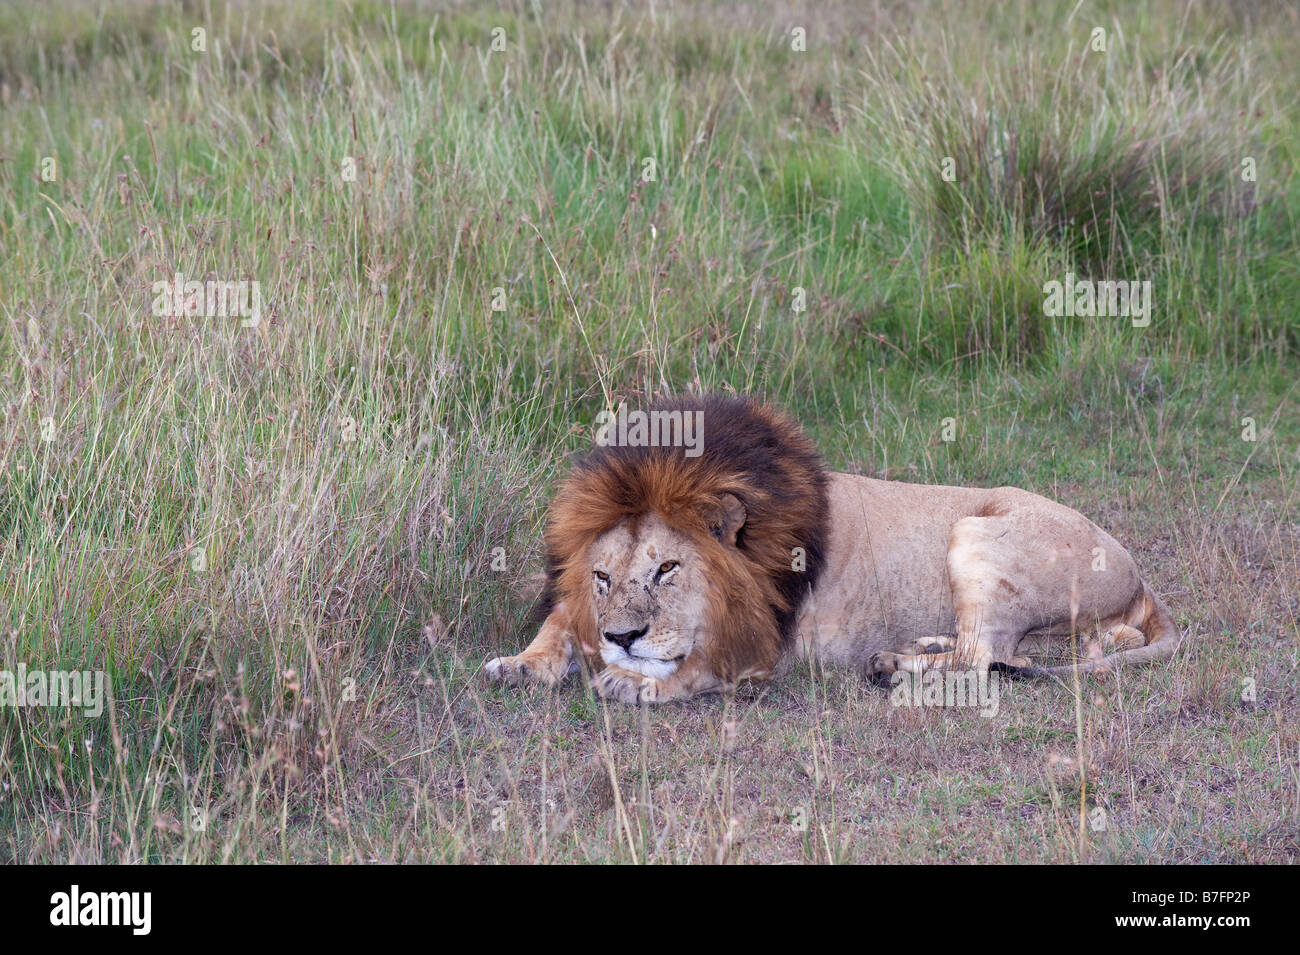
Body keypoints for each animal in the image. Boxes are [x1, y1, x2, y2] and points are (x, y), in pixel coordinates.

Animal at [484, 394, 1181, 704]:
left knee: (987, 656)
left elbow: (694, 670)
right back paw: (906, 653)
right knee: (989, 649)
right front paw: (522, 663)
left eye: (668, 569)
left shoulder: (765, 644)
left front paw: (632, 681)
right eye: (601, 577)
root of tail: (1139, 575)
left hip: (976, 532)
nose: (622, 638)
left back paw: (892, 667)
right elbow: (559, 623)